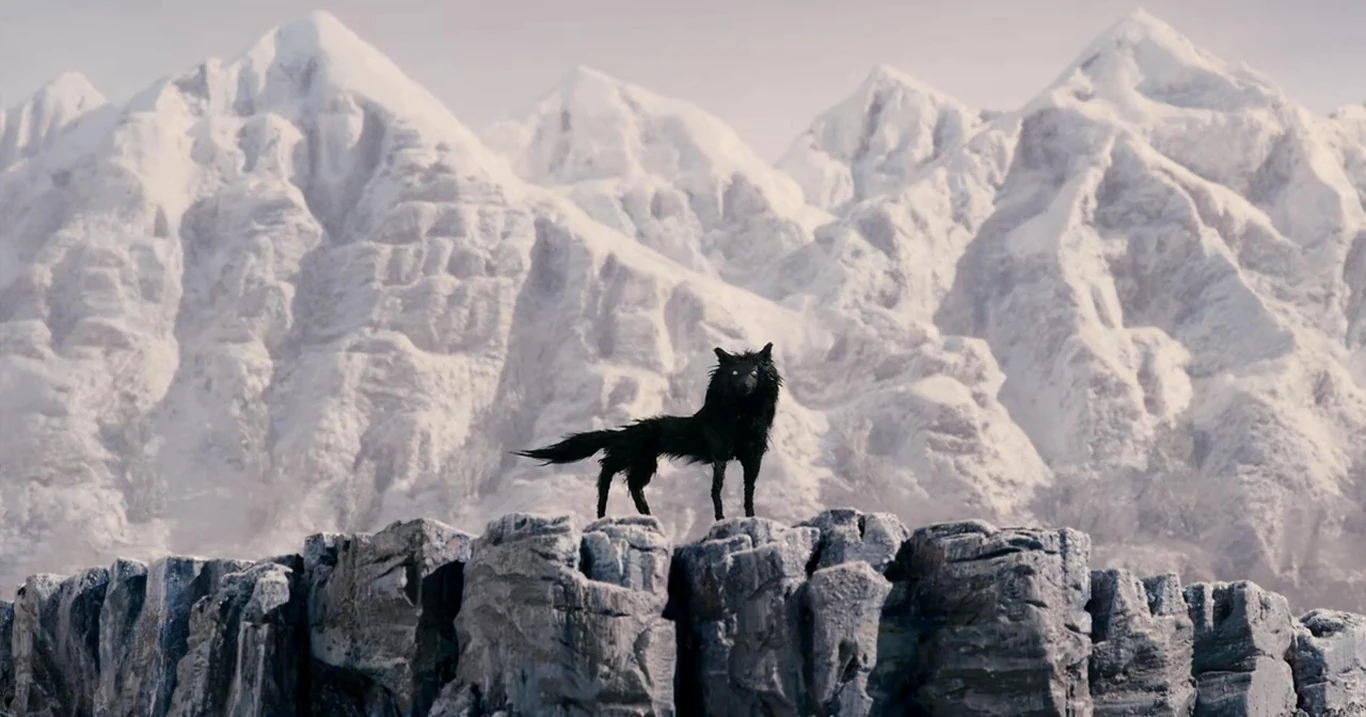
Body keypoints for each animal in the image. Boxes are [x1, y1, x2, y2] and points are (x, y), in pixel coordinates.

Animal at [513, 343, 782, 521]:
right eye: (734, 373)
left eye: (755, 372)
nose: (745, 386)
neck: (741, 419)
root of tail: (621, 432)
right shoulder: (720, 452)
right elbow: (717, 488)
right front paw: (720, 518)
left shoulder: (753, 455)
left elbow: (749, 490)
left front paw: (750, 516)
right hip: (633, 456)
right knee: (608, 469)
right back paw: (603, 512)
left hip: (644, 462)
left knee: (632, 483)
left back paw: (646, 515)